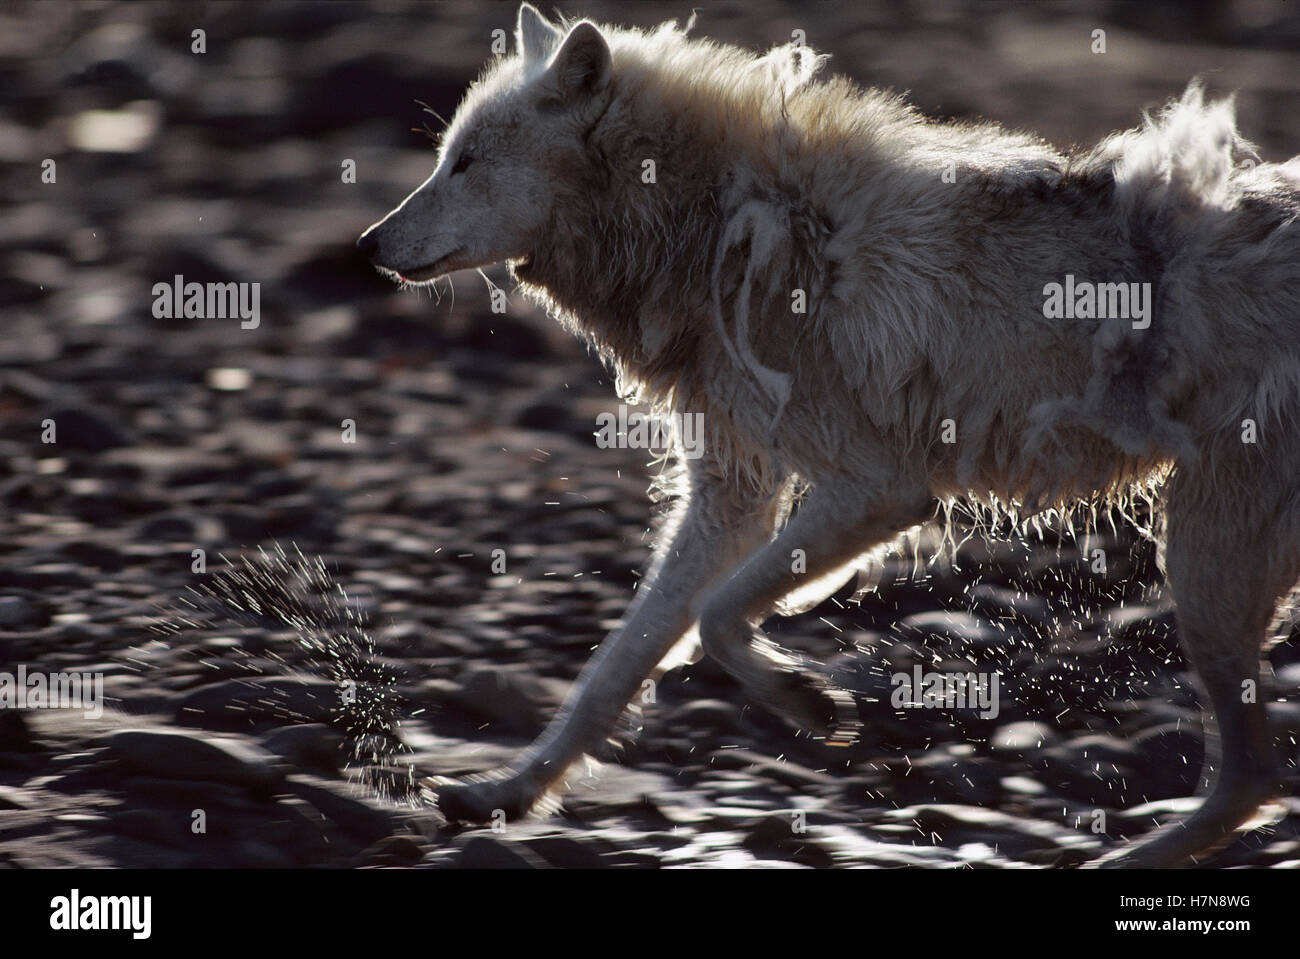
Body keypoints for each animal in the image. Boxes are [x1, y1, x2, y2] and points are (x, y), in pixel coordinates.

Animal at [358, 3, 1300, 867]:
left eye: (465, 163)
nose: (367, 243)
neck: (709, 214)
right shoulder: (731, 500)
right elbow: (612, 670)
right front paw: (506, 792)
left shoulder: (876, 490)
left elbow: (717, 616)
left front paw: (803, 699)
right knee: (1257, 773)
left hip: (1202, 566)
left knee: (1255, 774)